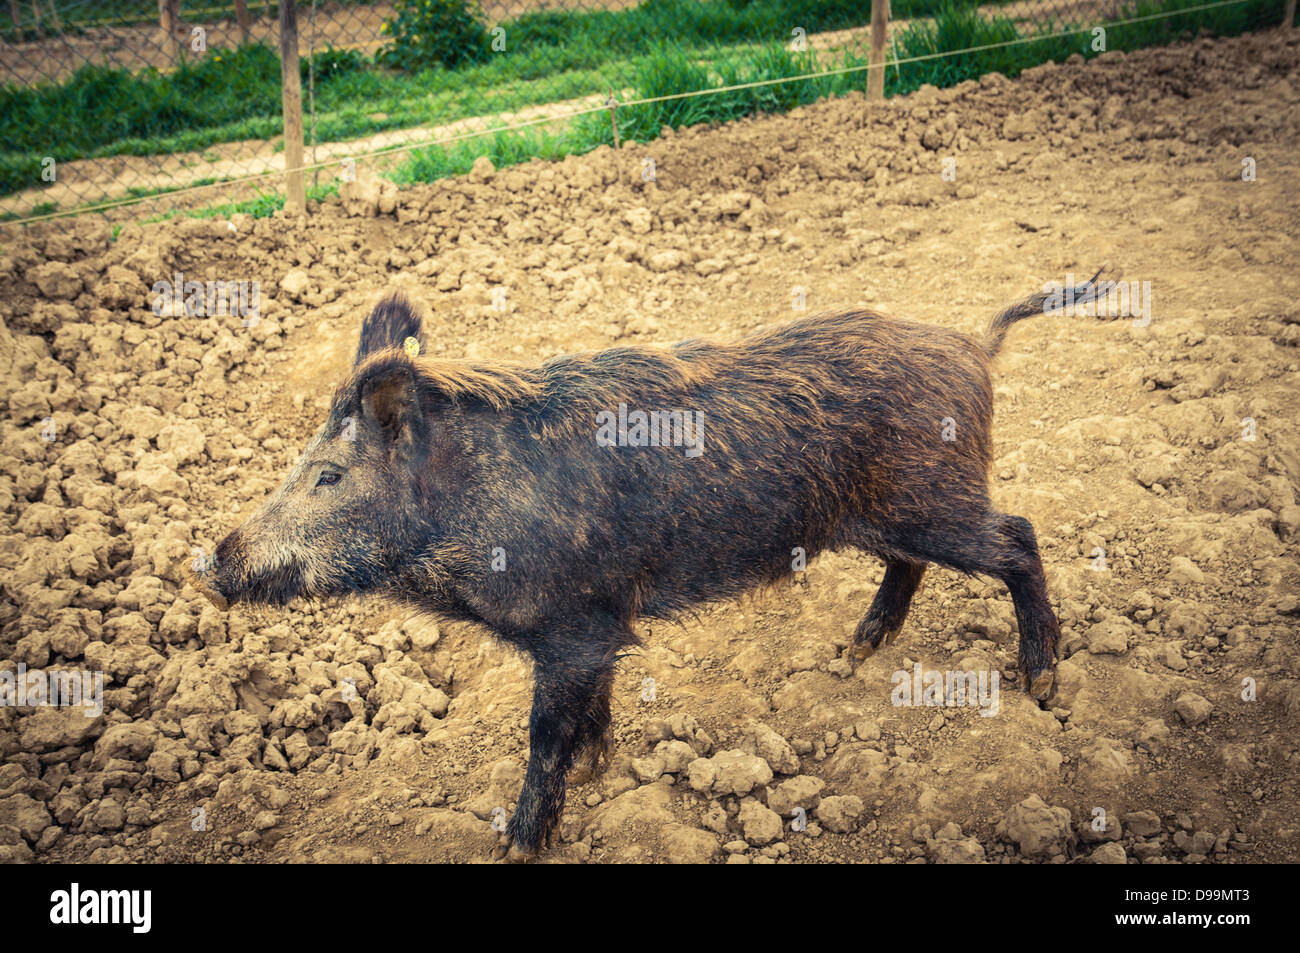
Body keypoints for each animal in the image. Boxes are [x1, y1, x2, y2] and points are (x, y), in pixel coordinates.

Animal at [185, 269, 1111, 860]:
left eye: (328, 476)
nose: (212, 561)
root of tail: (973, 344)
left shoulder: (569, 626)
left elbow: (546, 732)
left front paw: (519, 845)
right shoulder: (592, 629)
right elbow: (589, 715)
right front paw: (598, 768)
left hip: (934, 499)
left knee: (1019, 536)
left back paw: (1040, 682)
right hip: (877, 513)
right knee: (913, 567)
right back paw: (853, 652)